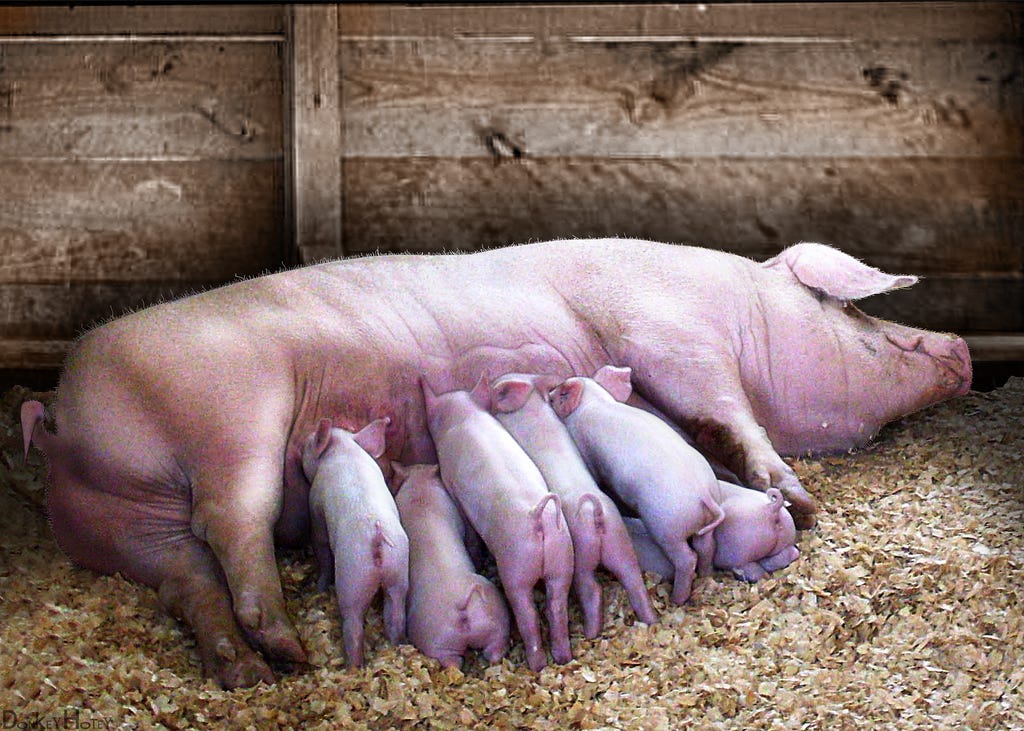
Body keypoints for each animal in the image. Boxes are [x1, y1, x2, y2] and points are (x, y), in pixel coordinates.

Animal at [301, 417, 408, 667]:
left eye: (309, 444)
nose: (299, 447)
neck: (345, 451)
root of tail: (376, 535)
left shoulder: (315, 504)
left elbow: (320, 543)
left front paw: (319, 587)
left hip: (352, 578)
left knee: (353, 623)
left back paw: (352, 667)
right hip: (398, 570)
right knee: (396, 613)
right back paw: (395, 645)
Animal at [421, 375, 575, 672]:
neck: (465, 416)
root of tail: (537, 518)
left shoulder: (452, 484)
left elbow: (469, 531)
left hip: (516, 569)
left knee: (527, 613)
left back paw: (537, 664)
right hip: (562, 558)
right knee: (557, 605)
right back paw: (562, 657)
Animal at [488, 372, 657, 637]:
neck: (531, 408)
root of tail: (595, 513)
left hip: (583, 555)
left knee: (591, 588)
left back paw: (590, 632)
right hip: (619, 543)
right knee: (632, 576)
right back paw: (650, 620)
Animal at [549, 366, 726, 605]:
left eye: (562, 393)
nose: (548, 393)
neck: (594, 401)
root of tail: (703, 494)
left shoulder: (585, 448)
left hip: (667, 527)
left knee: (688, 558)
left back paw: (676, 599)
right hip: (702, 525)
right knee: (707, 547)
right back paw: (706, 576)